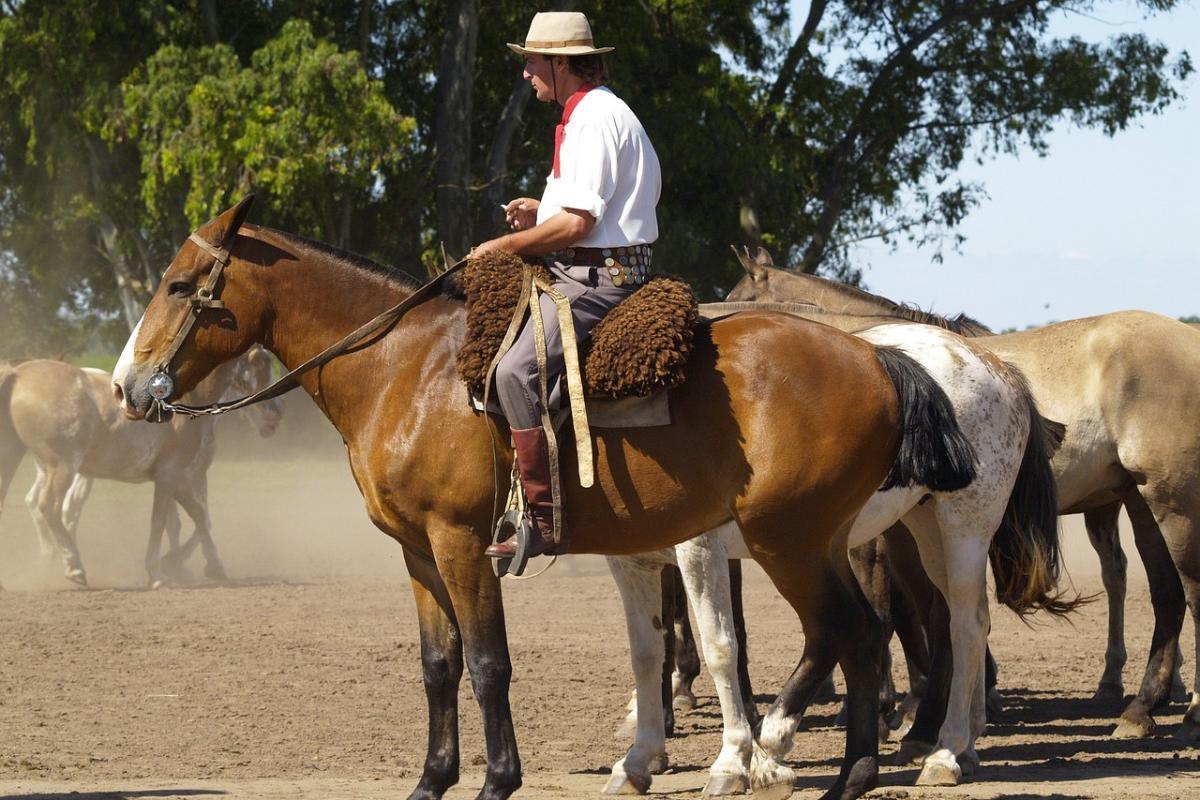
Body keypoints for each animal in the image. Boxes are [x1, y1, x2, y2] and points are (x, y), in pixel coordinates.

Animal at [0, 348, 281, 587]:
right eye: (259, 364)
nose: (274, 417)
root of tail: (18, 373)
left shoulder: (177, 478)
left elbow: (198, 517)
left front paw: (211, 566)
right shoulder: (173, 475)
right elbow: (163, 521)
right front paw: (158, 571)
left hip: (17, 459)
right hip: (63, 467)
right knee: (50, 507)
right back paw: (73, 565)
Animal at [111, 197, 978, 800]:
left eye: (180, 285)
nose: (126, 387)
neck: (407, 370)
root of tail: (878, 359)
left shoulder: (463, 543)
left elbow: (489, 662)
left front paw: (498, 780)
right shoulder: (417, 552)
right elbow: (439, 665)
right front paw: (432, 780)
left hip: (788, 542)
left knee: (859, 633)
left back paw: (849, 768)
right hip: (819, 541)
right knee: (862, 634)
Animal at [607, 306, 1070, 787]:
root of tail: (997, 368)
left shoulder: (701, 549)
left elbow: (722, 644)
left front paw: (733, 757)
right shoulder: (639, 559)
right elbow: (651, 647)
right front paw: (645, 748)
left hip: (964, 526)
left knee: (965, 624)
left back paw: (943, 749)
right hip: (925, 530)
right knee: (962, 623)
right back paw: (960, 744)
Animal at [727, 253, 1200, 742]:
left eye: (737, 295)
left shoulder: (871, 538)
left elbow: (895, 610)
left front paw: (892, 708)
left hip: (1168, 502)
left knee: (1182, 587)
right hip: (1139, 500)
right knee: (1163, 591)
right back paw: (1141, 706)